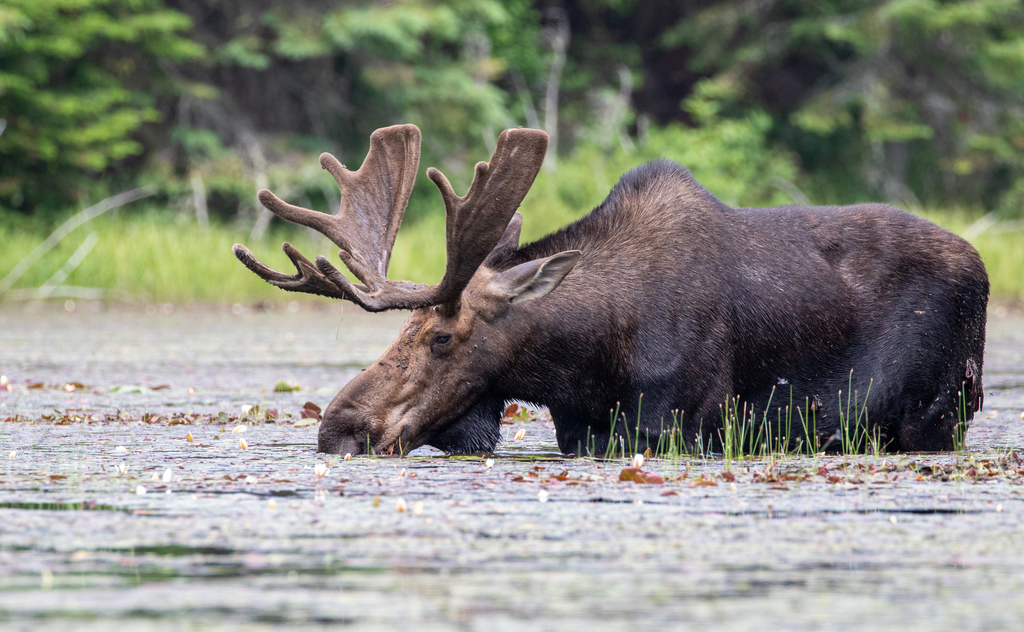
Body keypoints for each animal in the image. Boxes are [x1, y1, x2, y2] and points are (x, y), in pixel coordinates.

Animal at [233, 124, 988, 456]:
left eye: (442, 338)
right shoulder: (577, 428)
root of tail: (982, 269)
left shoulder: (676, 423)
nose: (338, 427)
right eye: (401, 331)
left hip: (936, 412)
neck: (582, 363)